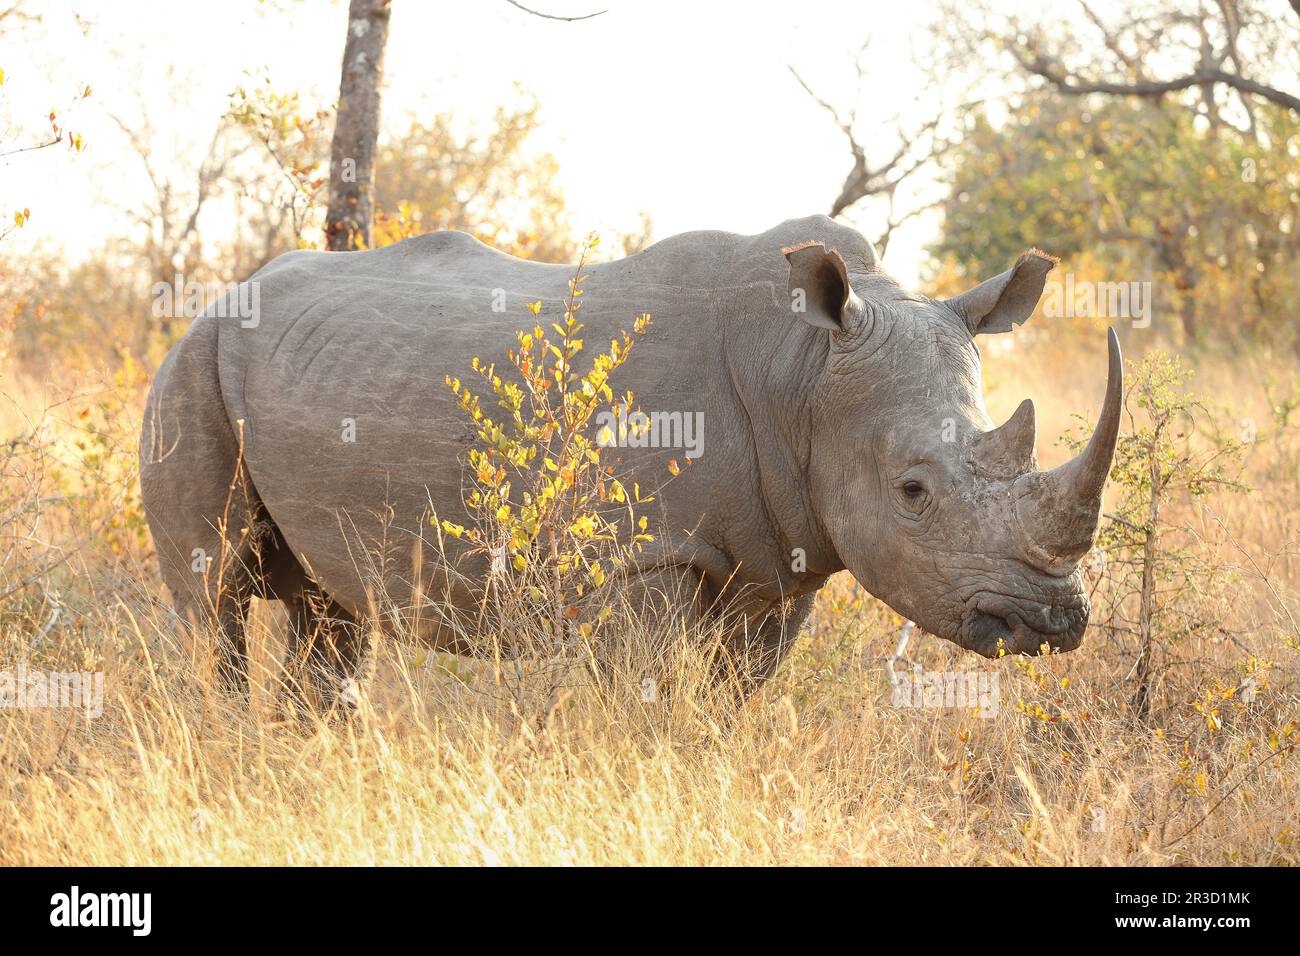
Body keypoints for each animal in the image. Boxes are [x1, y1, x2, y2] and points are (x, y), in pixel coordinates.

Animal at [139, 215, 1121, 707]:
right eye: (913, 490)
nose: (1054, 620)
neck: (803, 373)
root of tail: (218, 300)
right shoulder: (637, 557)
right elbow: (644, 700)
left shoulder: (781, 560)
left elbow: (730, 702)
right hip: (190, 366)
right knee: (213, 595)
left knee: (329, 613)